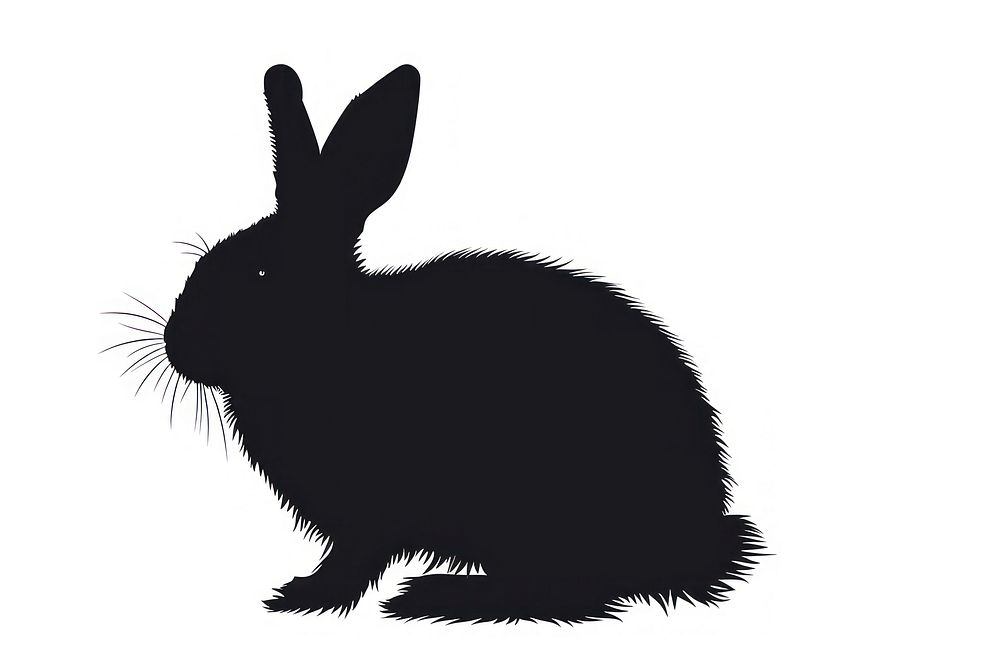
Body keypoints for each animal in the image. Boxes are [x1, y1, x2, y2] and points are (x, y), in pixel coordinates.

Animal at [123, 64, 764, 624]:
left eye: (261, 275)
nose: (175, 346)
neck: (331, 342)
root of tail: (702, 534)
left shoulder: (370, 509)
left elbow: (356, 557)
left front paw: (305, 596)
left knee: (569, 591)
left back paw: (437, 596)